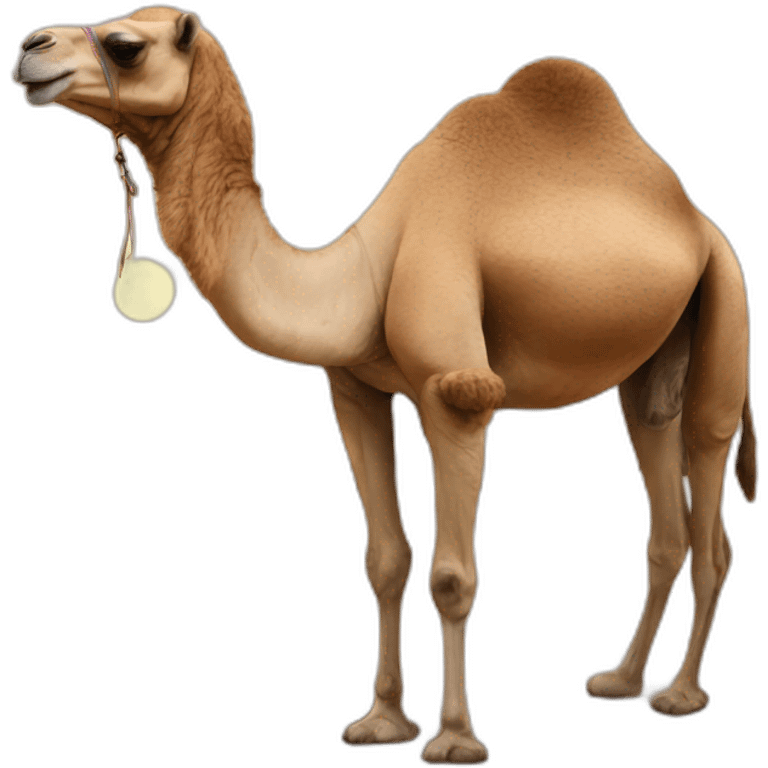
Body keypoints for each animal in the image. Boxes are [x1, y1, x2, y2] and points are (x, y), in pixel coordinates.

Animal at [13, 6, 757, 764]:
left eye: (126, 45)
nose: (30, 49)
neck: (356, 274)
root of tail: (694, 217)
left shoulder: (457, 393)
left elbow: (452, 575)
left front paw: (454, 738)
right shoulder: (355, 389)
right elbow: (386, 560)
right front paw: (381, 720)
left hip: (724, 288)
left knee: (710, 483)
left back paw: (679, 694)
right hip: (650, 363)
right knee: (660, 480)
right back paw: (622, 680)